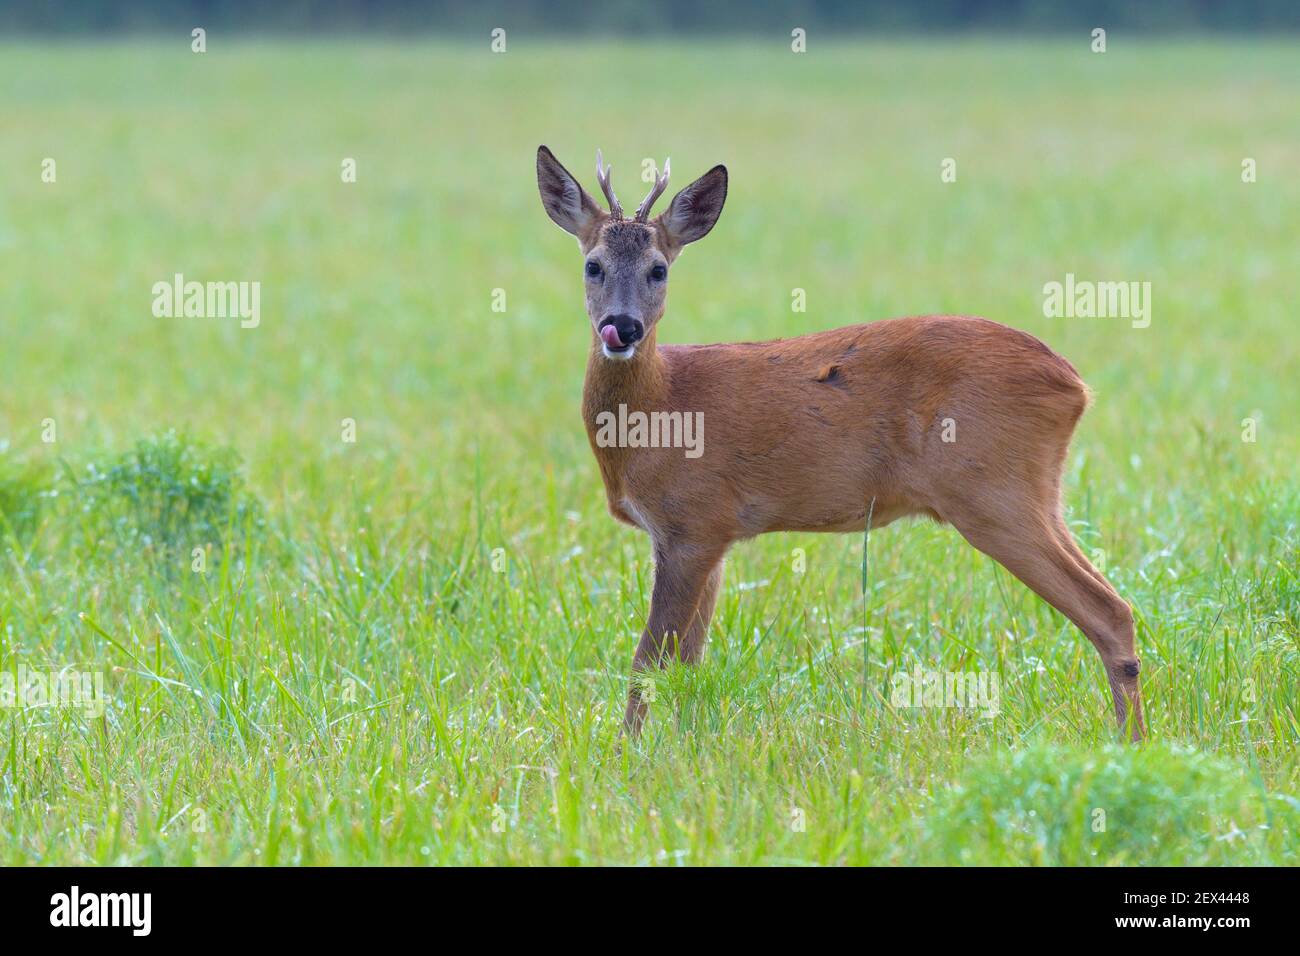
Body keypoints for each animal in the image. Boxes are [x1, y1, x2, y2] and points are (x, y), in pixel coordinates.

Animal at [535, 145, 1145, 742]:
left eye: (658, 269)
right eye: (593, 265)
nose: (622, 327)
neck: (659, 407)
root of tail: (1074, 384)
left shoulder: (693, 524)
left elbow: (648, 660)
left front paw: (630, 752)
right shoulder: (710, 538)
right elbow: (689, 661)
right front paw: (682, 746)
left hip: (992, 492)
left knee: (1107, 610)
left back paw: (1131, 742)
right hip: (1039, 494)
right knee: (1117, 601)